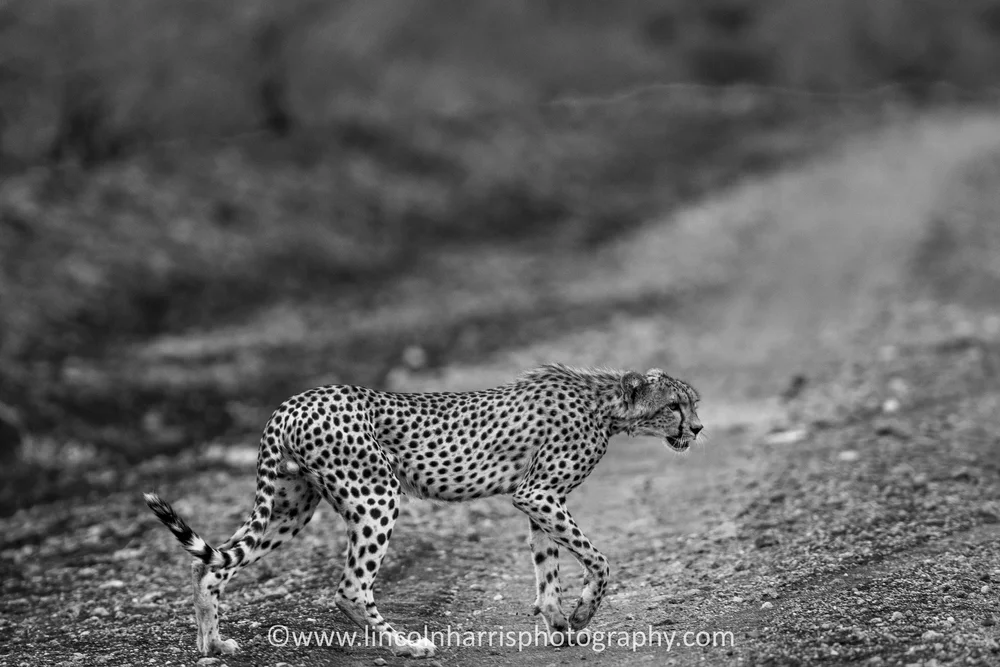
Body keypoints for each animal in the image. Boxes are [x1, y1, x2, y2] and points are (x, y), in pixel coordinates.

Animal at [144, 363, 702, 658]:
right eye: (675, 406)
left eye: (692, 404)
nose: (698, 429)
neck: (605, 404)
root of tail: (293, 402)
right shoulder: (538, 494)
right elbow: (600, 561)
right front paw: (582, 613)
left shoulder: (539, 501)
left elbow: (548, 569)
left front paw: (559, 622)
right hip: (376, 495)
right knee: (351, 587)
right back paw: (405, 646)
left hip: (288, 508)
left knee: (210, 565)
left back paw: (212, 644)